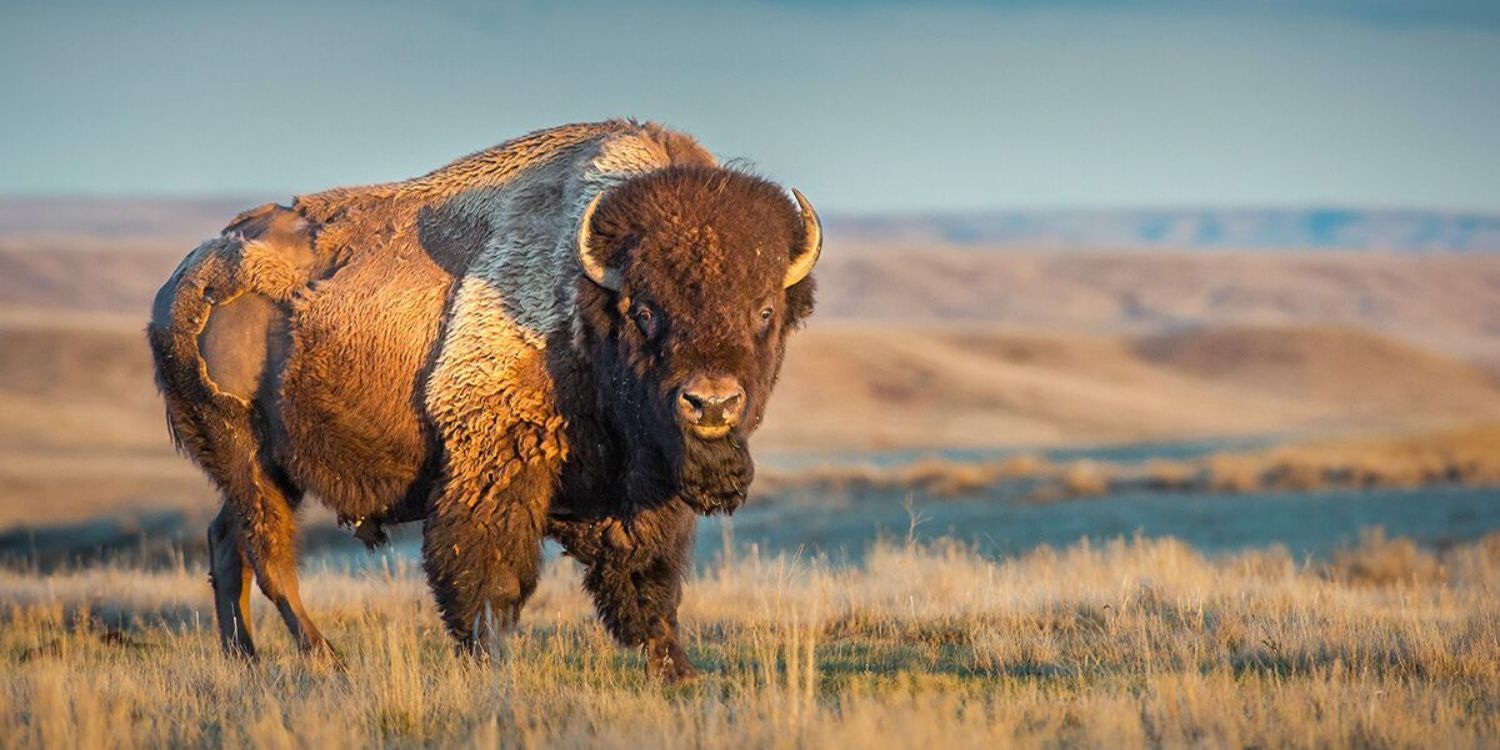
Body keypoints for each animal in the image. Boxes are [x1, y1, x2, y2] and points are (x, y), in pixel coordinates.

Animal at [148, 120, 820, 680]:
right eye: (646, 310)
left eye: (764, 311)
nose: (711, 405)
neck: (585, 299)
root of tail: (181, 280)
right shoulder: (496, 465)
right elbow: (490, 579)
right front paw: (493, 669)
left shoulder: (640, 494)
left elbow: (646, 582)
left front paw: (679, 674)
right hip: (246, 455)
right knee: (269, 555)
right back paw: (326, 661)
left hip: (262, 469)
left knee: (227, 543)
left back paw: (247, 660)